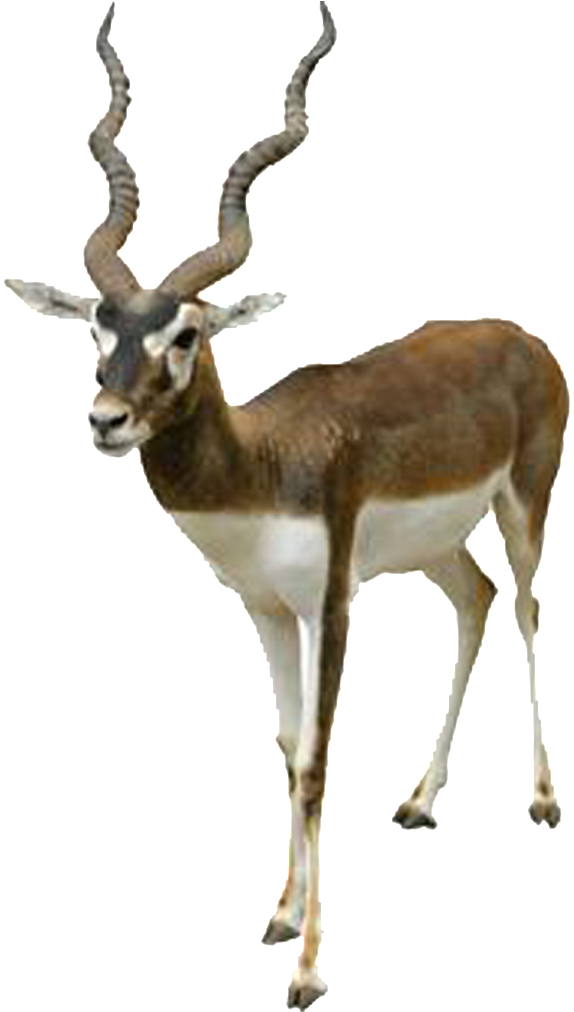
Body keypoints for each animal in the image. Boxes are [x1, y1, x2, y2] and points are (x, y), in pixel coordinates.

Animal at [3, 1, 570, 1008]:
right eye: (99, 329)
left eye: (186, 334)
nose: (106, 419)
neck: (263, 466)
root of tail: (522, 336)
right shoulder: (264, 610)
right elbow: (282, 742)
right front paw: (276, 917)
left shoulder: (332, 604)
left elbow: (315, 762)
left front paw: (307, 967)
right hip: (433, 548)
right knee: (475, 599)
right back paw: (418, 802)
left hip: (523, 503)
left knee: (529, 608)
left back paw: (542, 801)